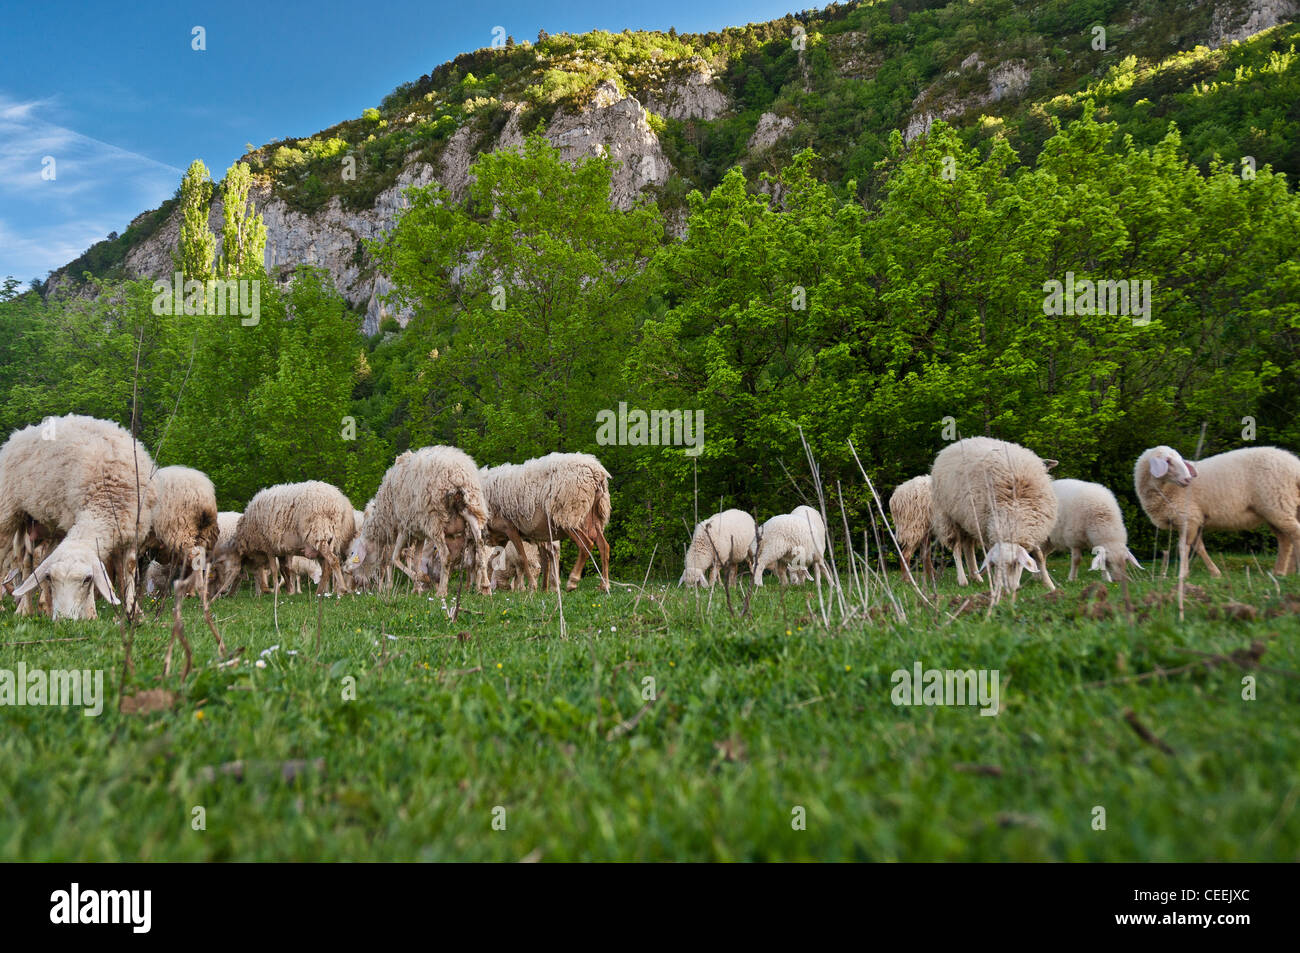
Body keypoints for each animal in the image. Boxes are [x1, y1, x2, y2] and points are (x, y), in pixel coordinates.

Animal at [2, 414, 156, 619]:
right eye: (50, 578)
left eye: (87, 579)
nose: (64, 619)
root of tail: (18, 434)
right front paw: (91, 613)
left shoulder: (134, 527)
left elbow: (130, 567)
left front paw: (134, 610)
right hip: (9, 512)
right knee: (19, 561)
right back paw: (23, 609)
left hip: (45, 526)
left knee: (32, 561)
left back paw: (43, 607)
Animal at [344, 446, 490, 598]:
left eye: (353, 553)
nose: (351, 575)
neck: (385, 517)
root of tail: (457, 475)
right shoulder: (419, 532)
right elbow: (416, 560)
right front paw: (417, 588)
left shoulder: (404, 528)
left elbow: (395, 558)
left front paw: (421, 579)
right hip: (472, 508)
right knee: (481, 548)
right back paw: (485, 588)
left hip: (435, 520)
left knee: (446, 555)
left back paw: (441, 591)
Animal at [480, 452, 611, 592]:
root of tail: (596, 472)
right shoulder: (506, 535)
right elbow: (492, 561)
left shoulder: (510, 528)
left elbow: (522, 557)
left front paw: (532, 586)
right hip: (593, 517)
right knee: (604, 546)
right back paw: (604, 585)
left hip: (569, 513)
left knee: (586, 544)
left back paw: (572, 581)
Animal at [930, 437, 1058, 599]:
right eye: (996, 565)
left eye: (1016, 564)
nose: (1008, 590)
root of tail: (951, 446)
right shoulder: (988, 529)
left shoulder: (1034, 528)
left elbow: (1039, 556)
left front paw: (1049, 585)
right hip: (948, 516)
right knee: (957, 547)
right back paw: (963, 579)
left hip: (968, 518)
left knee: (968, 546)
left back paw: (976, 577)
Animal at [1134, 445, 1300, 579]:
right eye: (1167, 461)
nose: (1188, 479)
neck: (1164, 490)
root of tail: (1294, 464)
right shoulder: (1196, 520)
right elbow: (1199, 547)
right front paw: (1215, 573)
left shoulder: (1188, 517)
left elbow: (1183, 547)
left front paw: (1182, 574)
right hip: (1277, 509)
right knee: (1285, 540)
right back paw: (1281, 572)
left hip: (1277, 504)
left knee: (1295, 533)